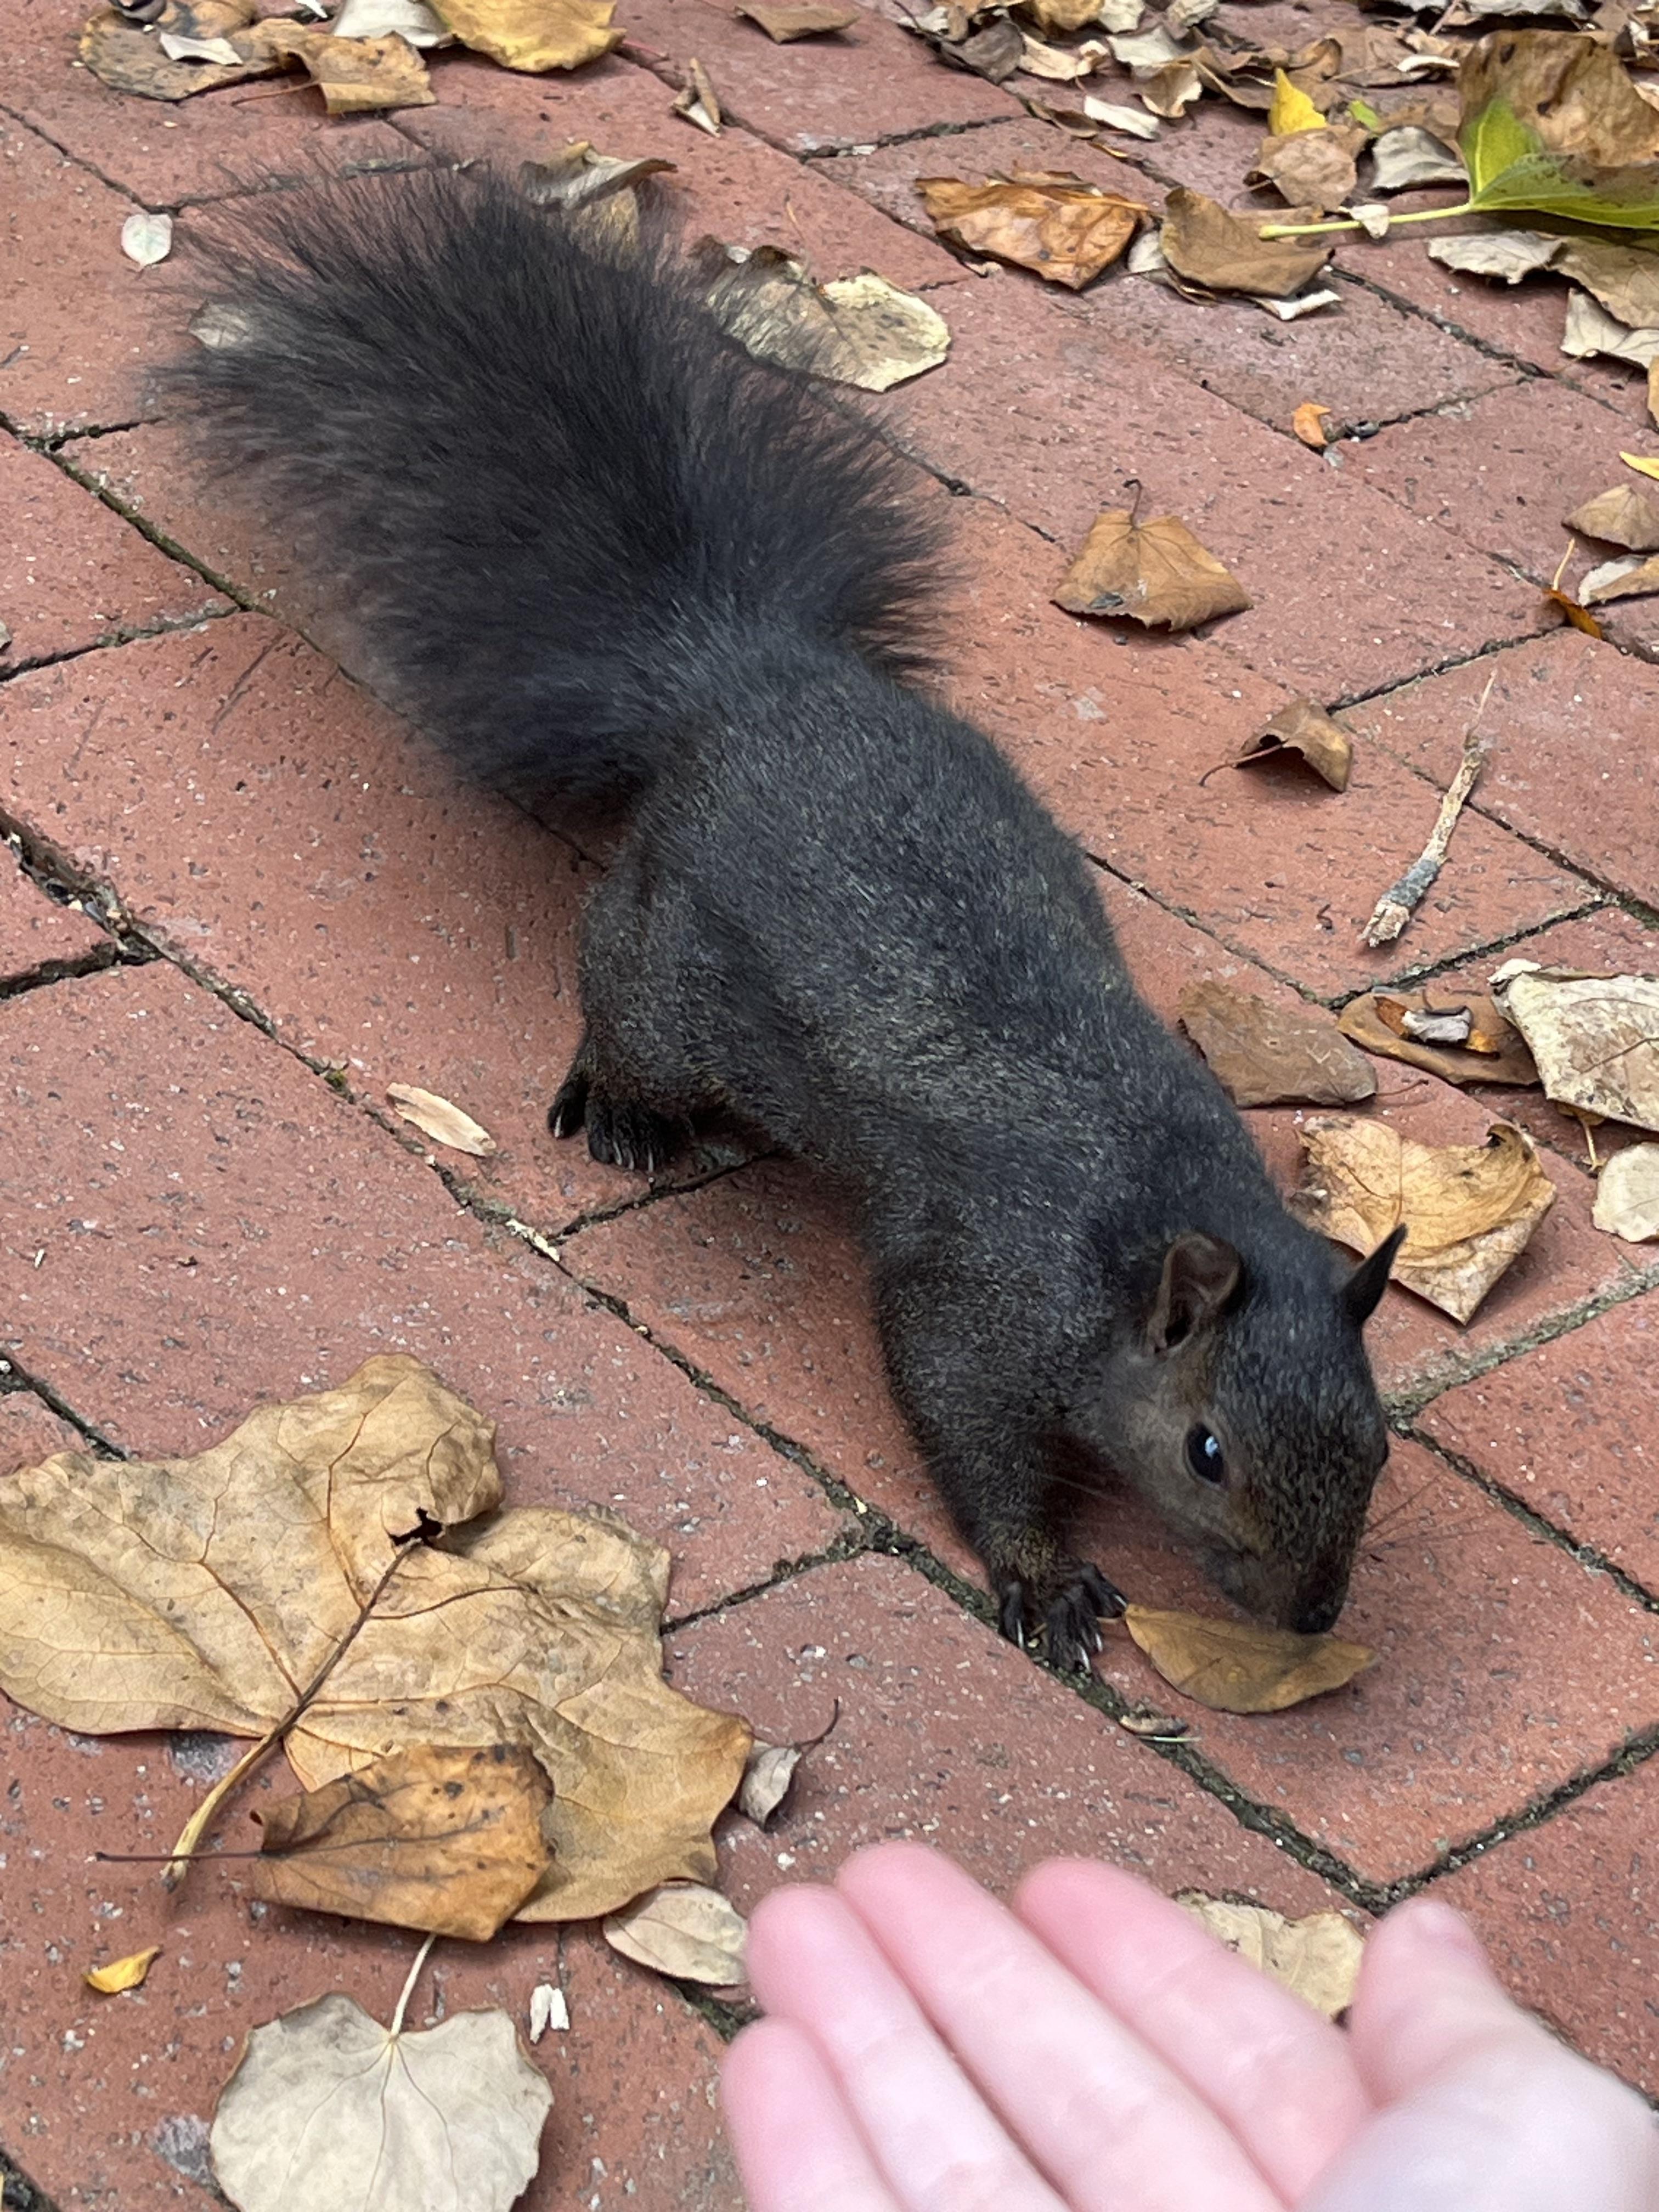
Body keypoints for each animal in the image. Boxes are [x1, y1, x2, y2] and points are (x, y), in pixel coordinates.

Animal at [169, 170, 1404, 1673]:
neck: (1155, 1204)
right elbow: (958, 1419)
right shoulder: (978, 1296)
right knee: (610, 983)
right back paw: (621, 1107)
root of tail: (740, 671)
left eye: (1380, 1443)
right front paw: (1040, 1575)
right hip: (667, 971)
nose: (1316, 1616)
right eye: (1207, 1451)